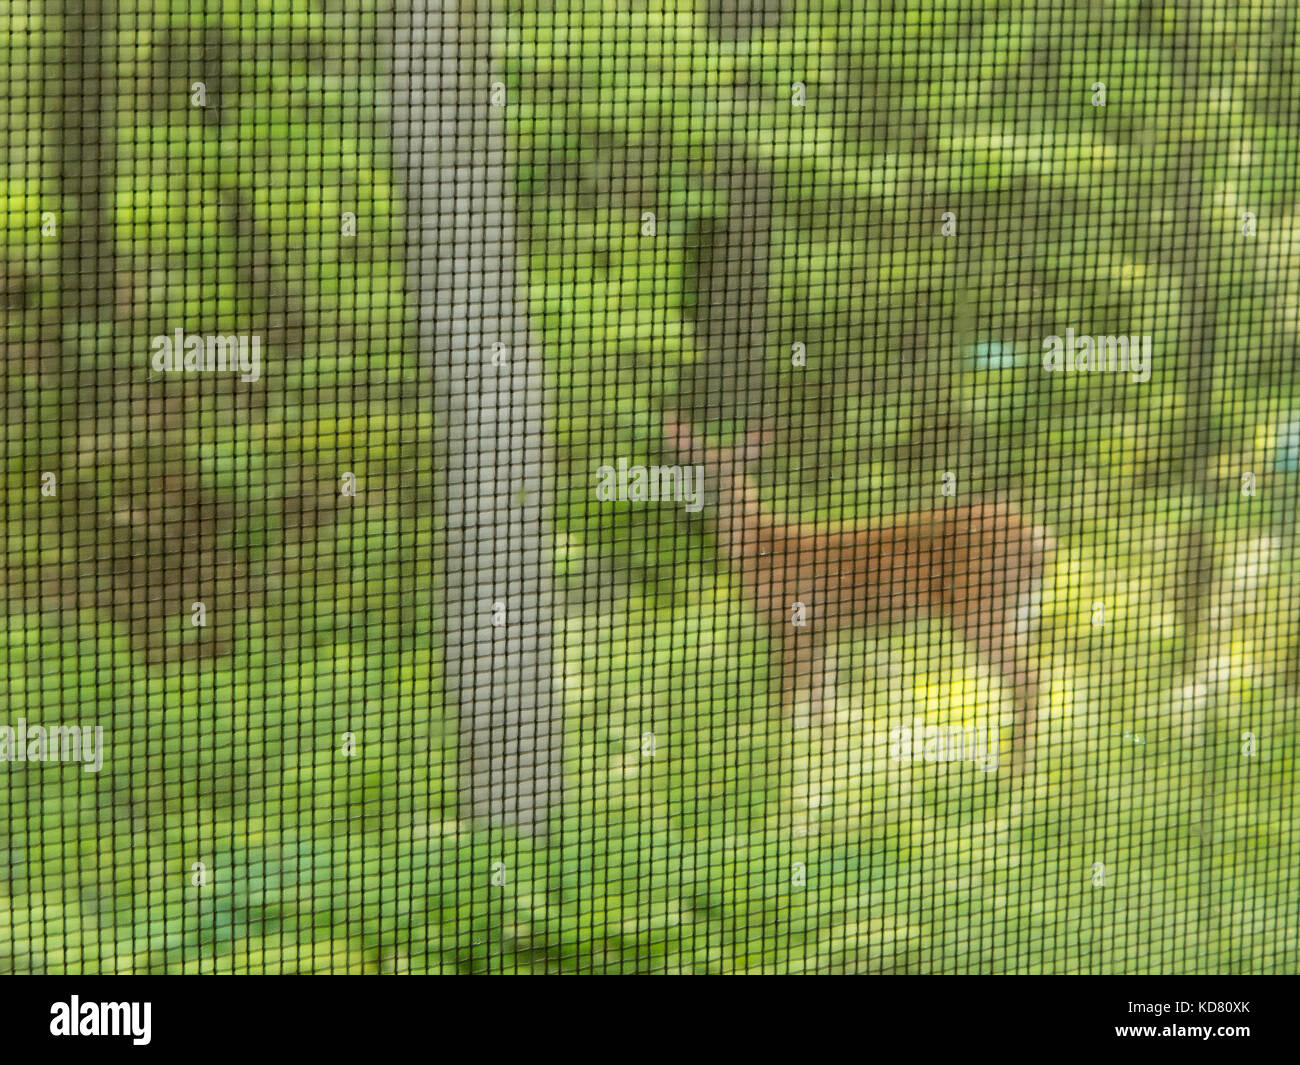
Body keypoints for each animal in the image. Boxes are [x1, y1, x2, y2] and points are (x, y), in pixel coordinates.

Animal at [663, 413, 1054, 775]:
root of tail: (1039, 541)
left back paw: (1017, 771)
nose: (713, 490)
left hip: (981, 606)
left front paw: (781, 758)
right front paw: (823, 773)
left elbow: (788, 699)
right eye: (698, 464)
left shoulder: (792, 622)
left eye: (735, 466)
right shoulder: (822, 630)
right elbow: (824, 706)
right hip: (1018, 611)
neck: (762, 548)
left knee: (1029, 677)